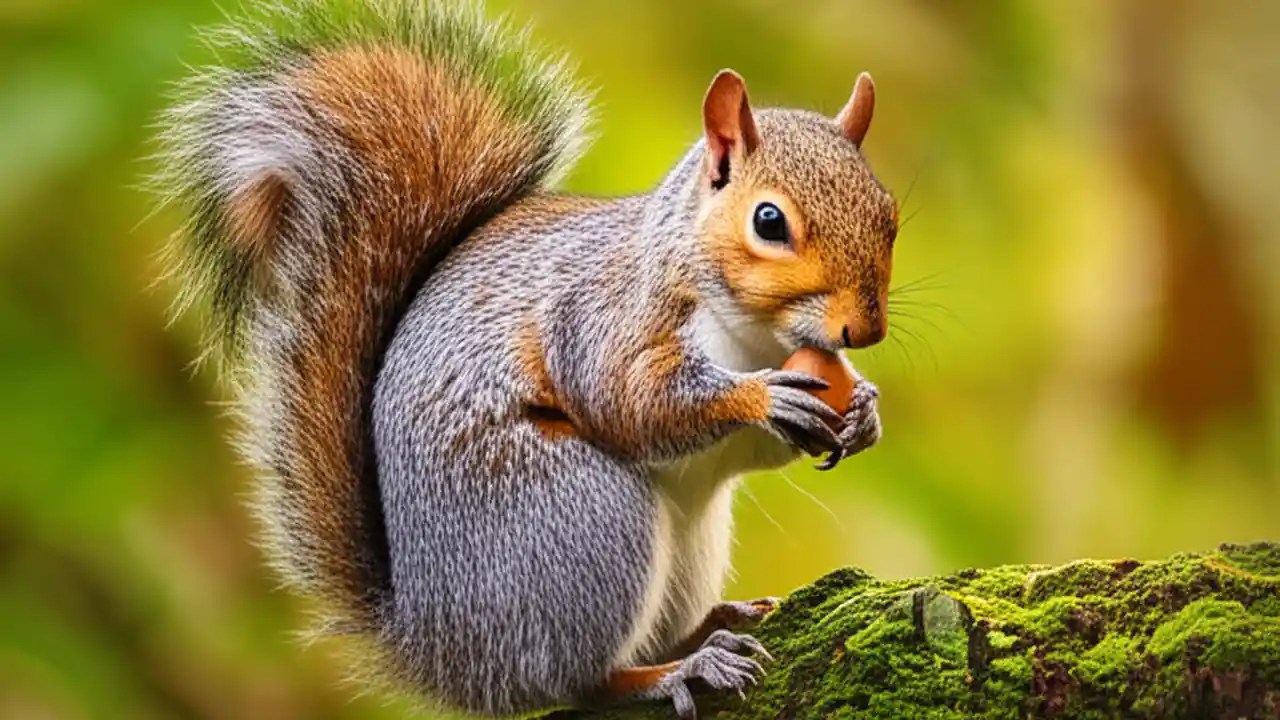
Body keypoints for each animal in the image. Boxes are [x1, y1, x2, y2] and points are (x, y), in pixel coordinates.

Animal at [156, 1, 896, 717]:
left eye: (888, 213)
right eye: (769, 222)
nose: (864, 331)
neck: (754, 335)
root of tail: (442, 652)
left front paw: (863, 411)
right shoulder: (604, 318)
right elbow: (633, 404)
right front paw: (765, 396)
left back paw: (716, 623)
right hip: (579, 516)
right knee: (580, 681)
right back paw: (674, 670)